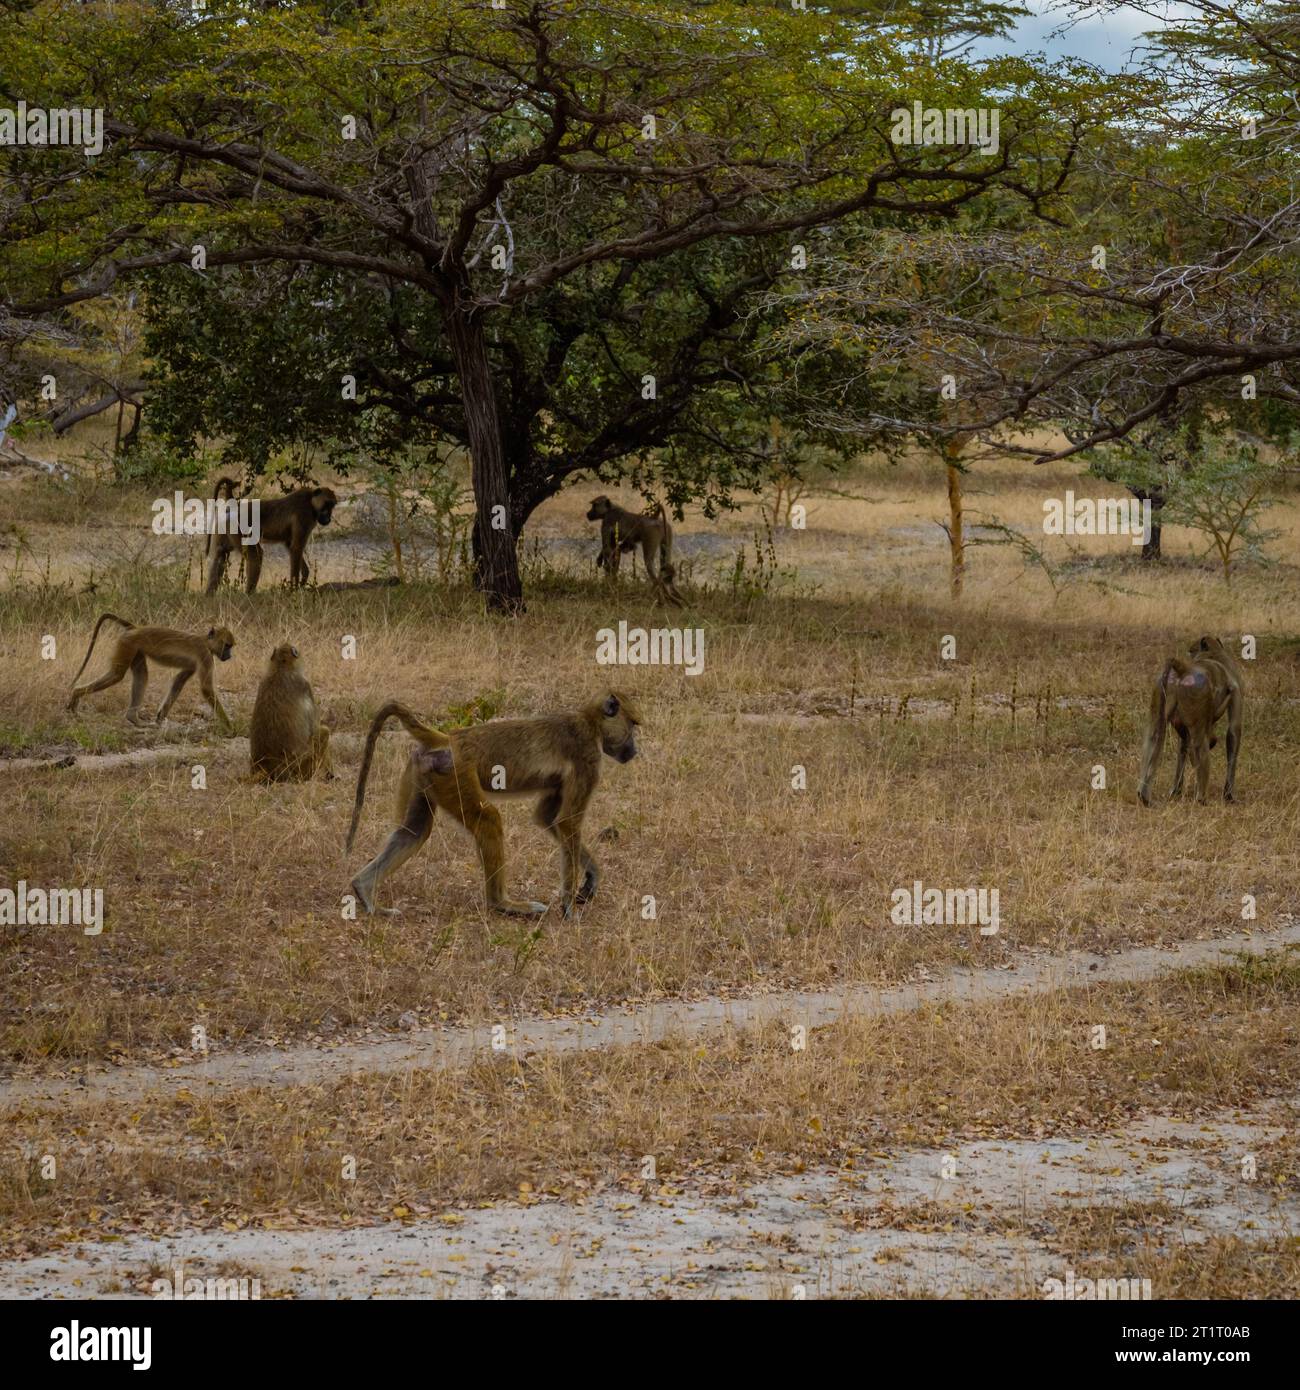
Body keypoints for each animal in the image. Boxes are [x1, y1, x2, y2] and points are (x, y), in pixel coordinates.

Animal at [67, 613, 235, 729]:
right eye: (227, 646)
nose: (229, 656)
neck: (206, 642)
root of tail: (136, 629)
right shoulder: (205, 655)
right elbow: (206, 689)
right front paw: (229, 726)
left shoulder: (195, 664)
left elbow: (179, 681)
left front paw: (160, 717)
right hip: (127, 643)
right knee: (117, 674)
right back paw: (76, 694)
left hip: (135, 648)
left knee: (141, 675)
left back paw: (133, 719)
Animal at [205, 477, 339, 594]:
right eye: (326, 505)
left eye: (332, 505)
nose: (328, 519)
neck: (310, 502)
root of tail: (234, 507)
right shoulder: (304, 515)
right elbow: (296, 548)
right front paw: (294, 589)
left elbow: (291, 546)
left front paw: (304, 576)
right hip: (238, 529)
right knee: (256, 555)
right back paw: (248, 595)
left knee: (220, 554)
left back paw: (209, 597)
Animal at [249, 643, 332, 782]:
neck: (281, 669)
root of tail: (267, 767)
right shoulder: (305, 686)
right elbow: (315, 728)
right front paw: (330, 773)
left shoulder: (263, 682)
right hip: (300, 768)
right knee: (325, 732)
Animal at [346, 692, 640, 918]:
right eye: (633, 726)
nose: (634, 750)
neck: (590, 722)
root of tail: (447, 739)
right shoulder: (587, 758)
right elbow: (566, 821)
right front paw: (568, 906)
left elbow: (547, 817)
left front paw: (591, 878)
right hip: (456, 774)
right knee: (488, 818)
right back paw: (504, 904)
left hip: (427, 771)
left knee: (413, 832)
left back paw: (364, 891)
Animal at [1138, 635, 1244, 806]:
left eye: (1191, 652)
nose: (1190, 657)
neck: (1214, 654)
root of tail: (1184, 669)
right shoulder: (1236, 689)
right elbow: (1234, 731)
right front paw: (1228, 794)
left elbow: (1183, 744)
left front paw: (1176, 790)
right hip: (1196, 691)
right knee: (1199, 743)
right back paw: (1201, 797)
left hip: (1161, 687)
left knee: (1154, 735)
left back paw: (1144, 796)